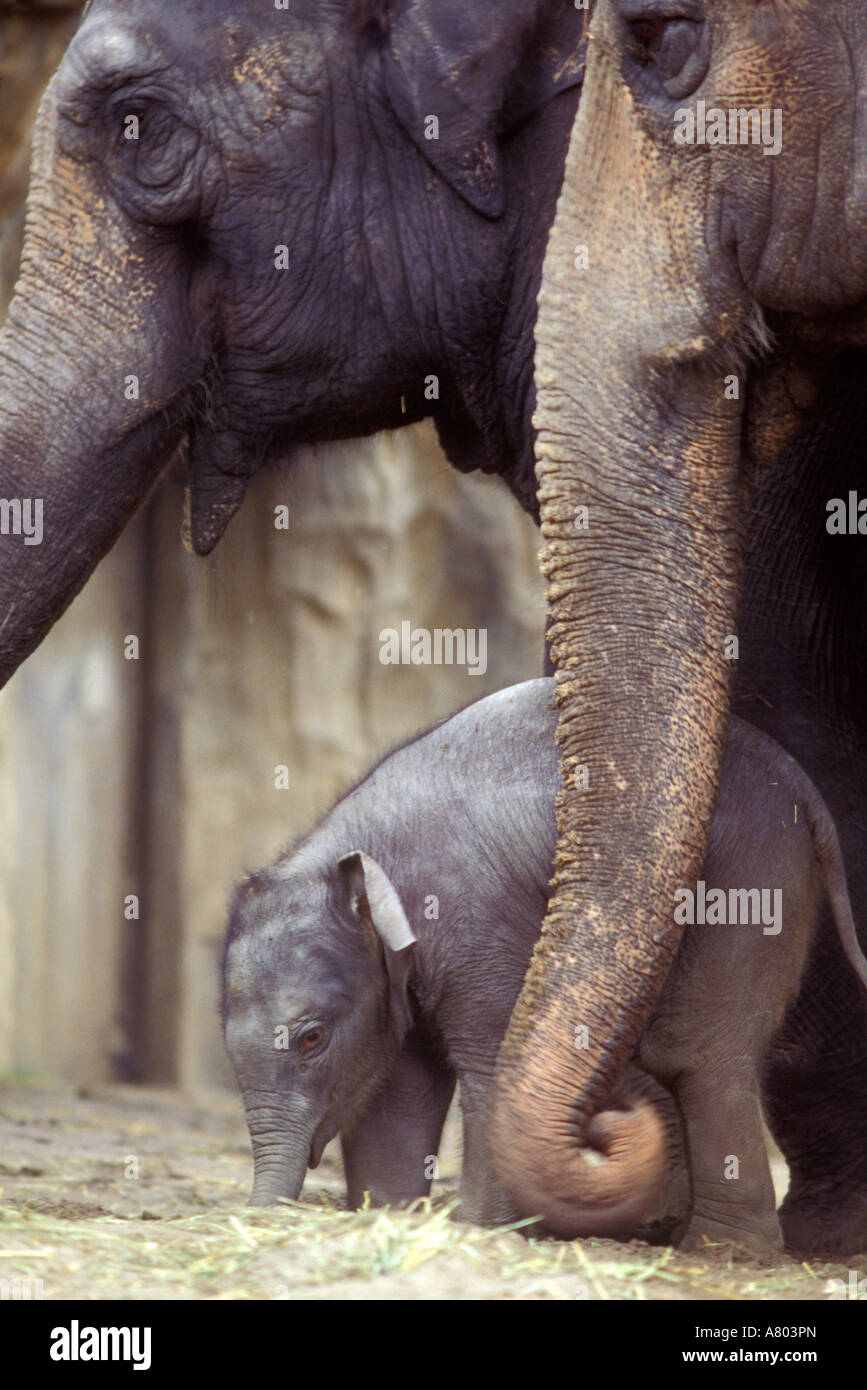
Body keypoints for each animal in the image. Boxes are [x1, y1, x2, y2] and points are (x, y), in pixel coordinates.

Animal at [221, 678, 867, 1254]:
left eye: (311, 1037)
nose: (261, 1219)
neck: (349, 855)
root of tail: (801, 785)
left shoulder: (478, 923)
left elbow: (490, 1062)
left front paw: (480, 1232)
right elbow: (399, 1094)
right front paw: (392, 1215)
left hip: (749, 878)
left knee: (695, 1054)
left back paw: (725, 1249)